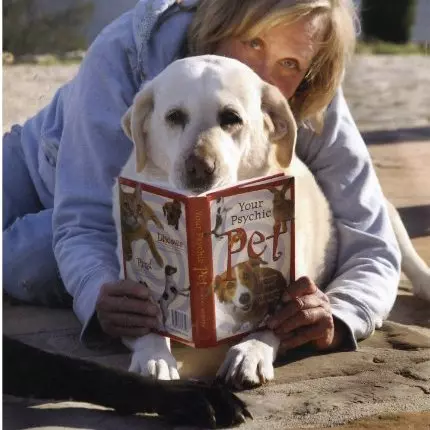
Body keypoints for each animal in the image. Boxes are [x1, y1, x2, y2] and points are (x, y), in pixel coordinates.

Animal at [115, 54, 430, 390]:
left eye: (231, 118)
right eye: (174, 117)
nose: (200, 168)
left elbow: (271, 320)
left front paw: (251, 352)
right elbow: (147, 323)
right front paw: (154, 355)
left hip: (386, 212)